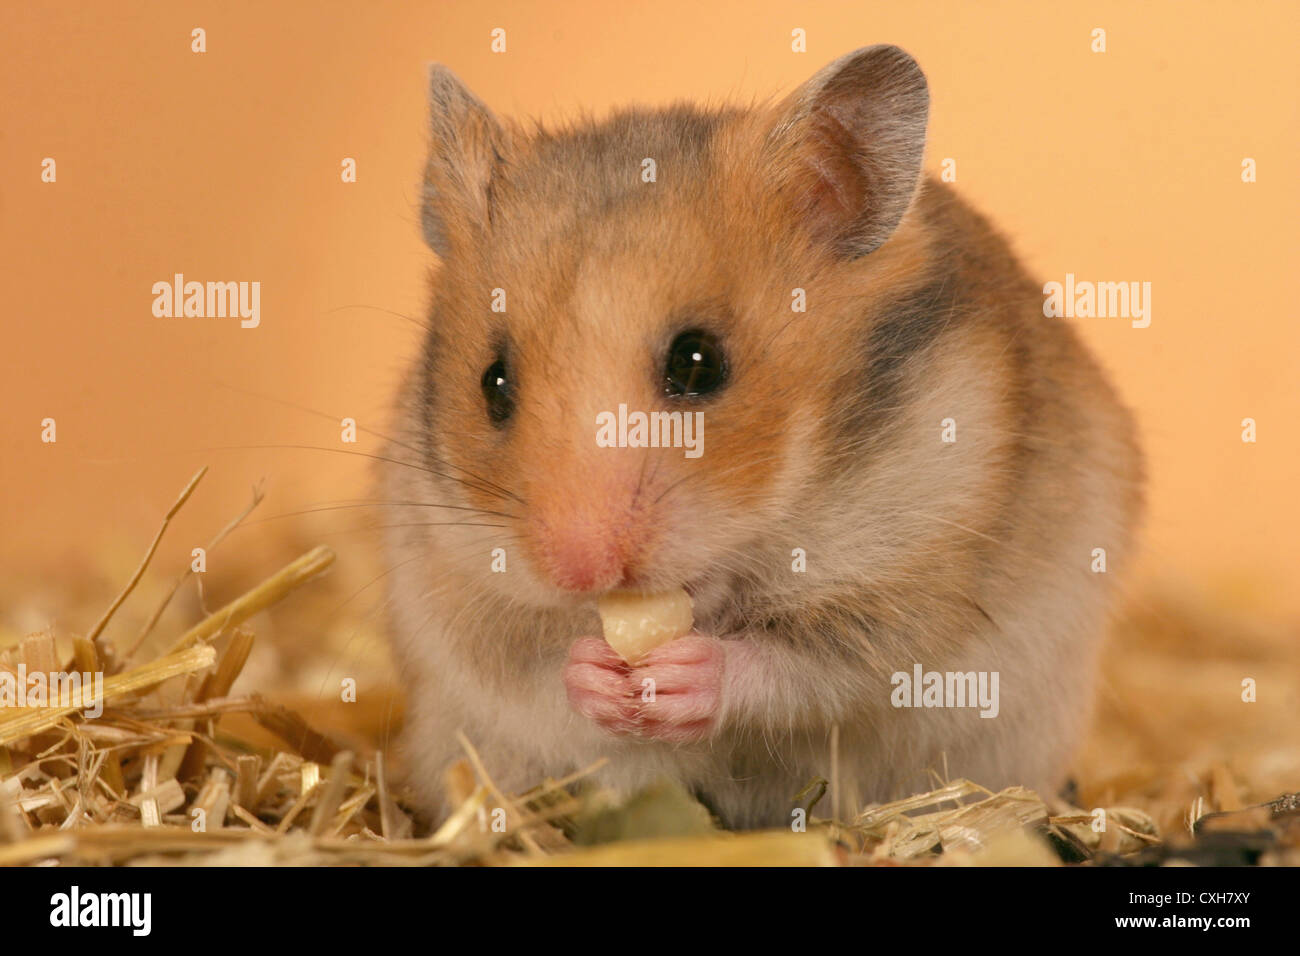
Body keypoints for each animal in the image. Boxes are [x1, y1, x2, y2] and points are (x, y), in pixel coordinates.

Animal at [379, 45, 1143, 829]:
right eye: (493, 382)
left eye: (698, 362)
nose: (581, 571)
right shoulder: (454, 582)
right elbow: (534, 659)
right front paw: (599, 675)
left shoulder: (915, 578)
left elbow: (802, 665)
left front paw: (678, 679)